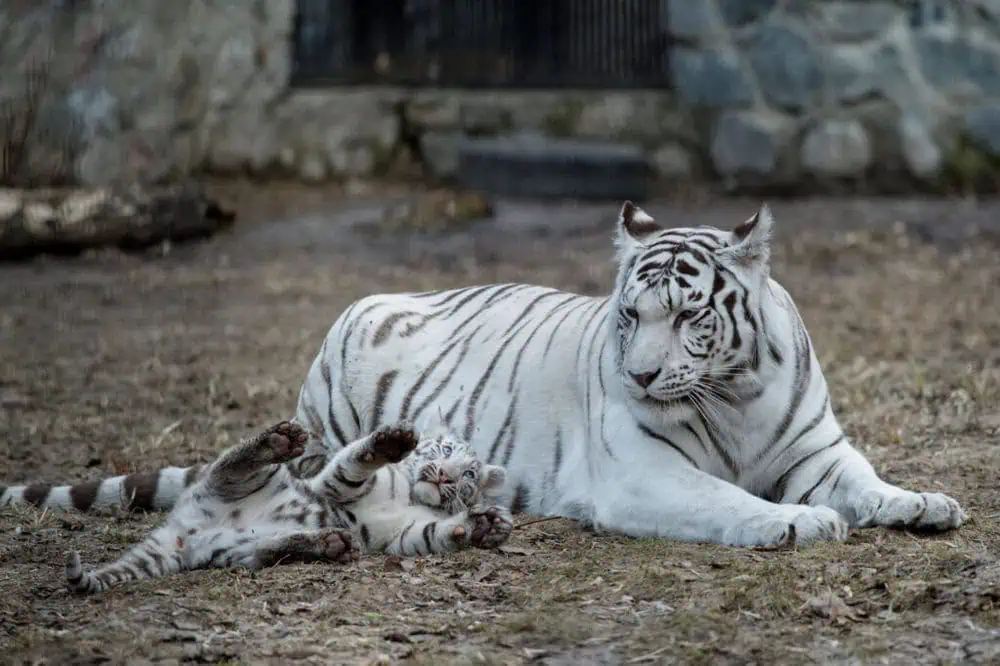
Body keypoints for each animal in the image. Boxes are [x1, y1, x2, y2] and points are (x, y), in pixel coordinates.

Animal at [3, 202, 967, 548]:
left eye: (690, 316)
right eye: (630, 317)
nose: (643, 377)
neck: (732, 393)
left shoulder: (817, 449)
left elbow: (870, 482)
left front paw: (923, 504)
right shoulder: (643, 474)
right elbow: (728, 499)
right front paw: (794, 523)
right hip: (341, 395)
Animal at [64, 419, 511, 594]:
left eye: (469, 475)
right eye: (444, 450)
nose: (445, 477)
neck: (413, 495)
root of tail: (183, 530)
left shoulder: (400, 536)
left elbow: (431, 533)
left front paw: (485, 525)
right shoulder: (336, 486)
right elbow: (357, 461)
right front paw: (392, 442)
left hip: (231, 549)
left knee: (266, 551)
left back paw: (330, 543)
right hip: (251, 479)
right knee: (233, 462)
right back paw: (276, 442)